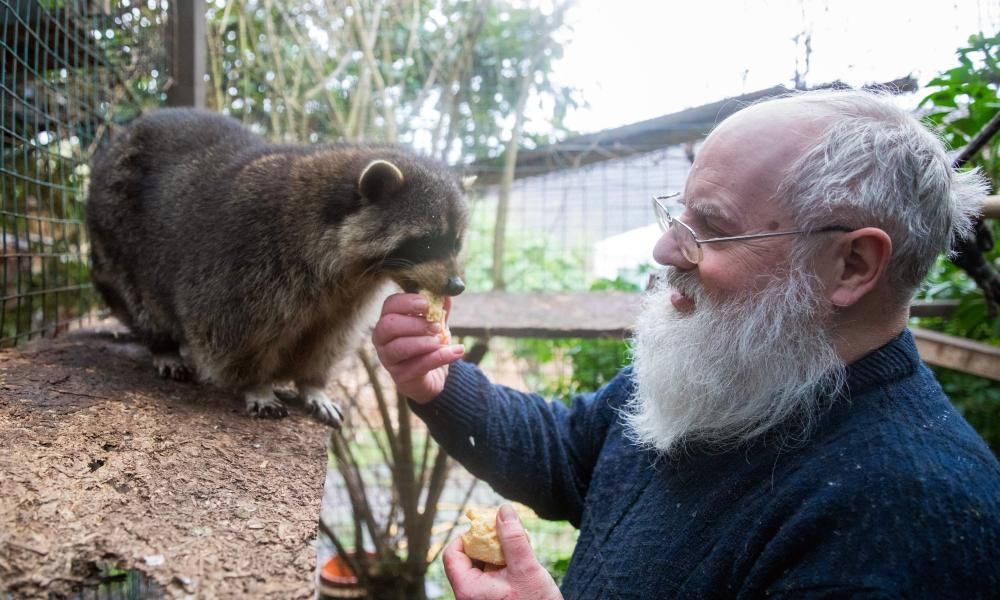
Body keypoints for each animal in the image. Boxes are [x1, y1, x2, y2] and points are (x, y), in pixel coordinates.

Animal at [85, 108, 468, 427]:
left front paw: (312, 385)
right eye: (427, 243)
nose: (458, 286)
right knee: (140, 297)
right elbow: (231, 335)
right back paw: (162, 345)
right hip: (114, 228)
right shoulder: (243, 265)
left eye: (456, 244)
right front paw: (257, 384)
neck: (352, 271)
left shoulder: (345, 302)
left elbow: (326, 340)